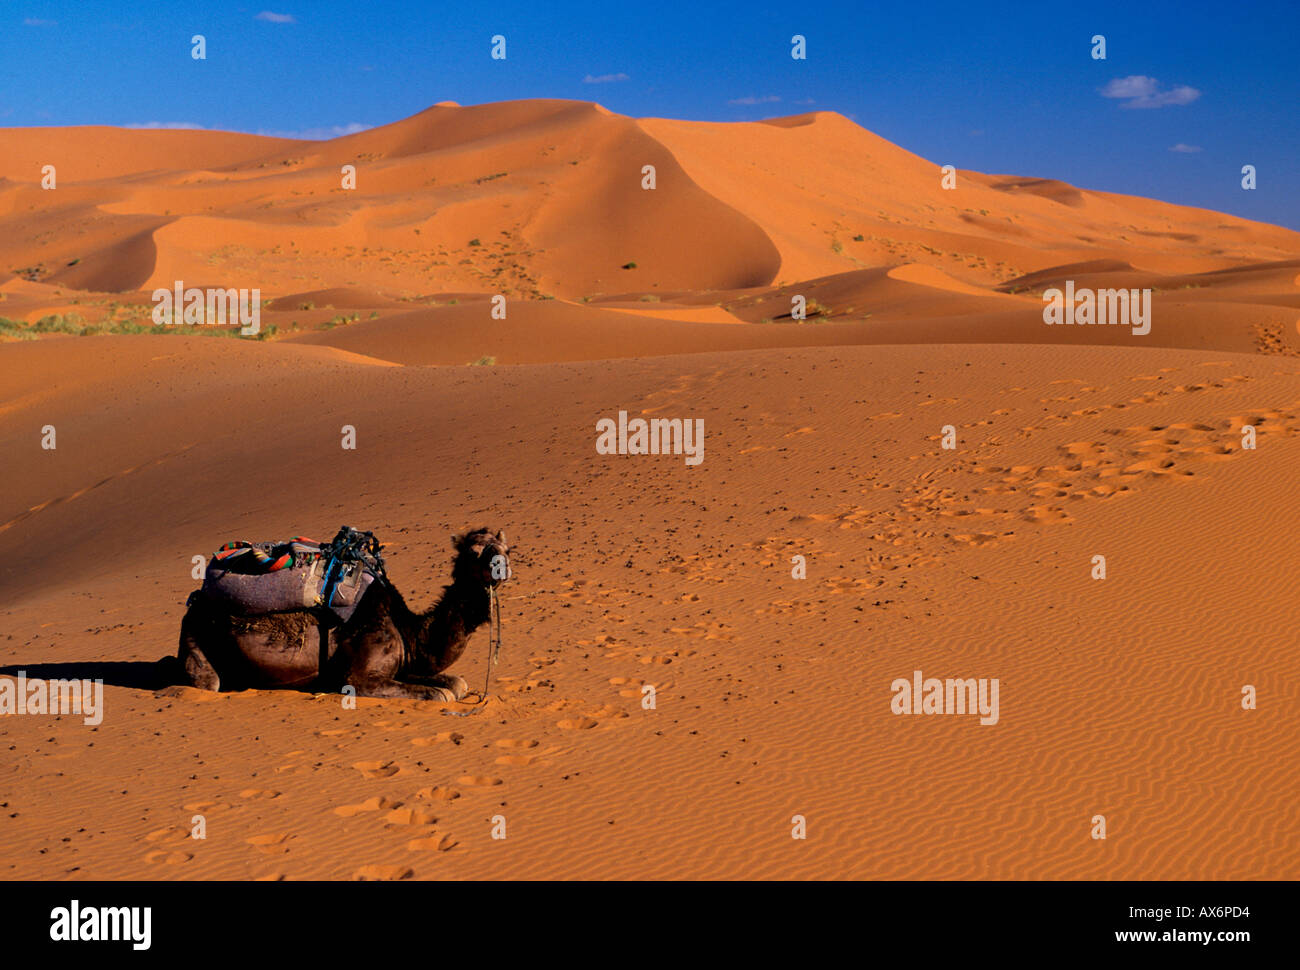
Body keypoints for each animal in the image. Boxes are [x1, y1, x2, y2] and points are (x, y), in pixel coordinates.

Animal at [170, 528, 511, 702]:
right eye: (474, 552)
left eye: (506, 549)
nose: (501, 566)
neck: (407, 629)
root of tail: (196, 601)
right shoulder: (357, 678)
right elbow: (442, 695)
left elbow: (456, 684)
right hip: (195, 638)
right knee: (207, 682)